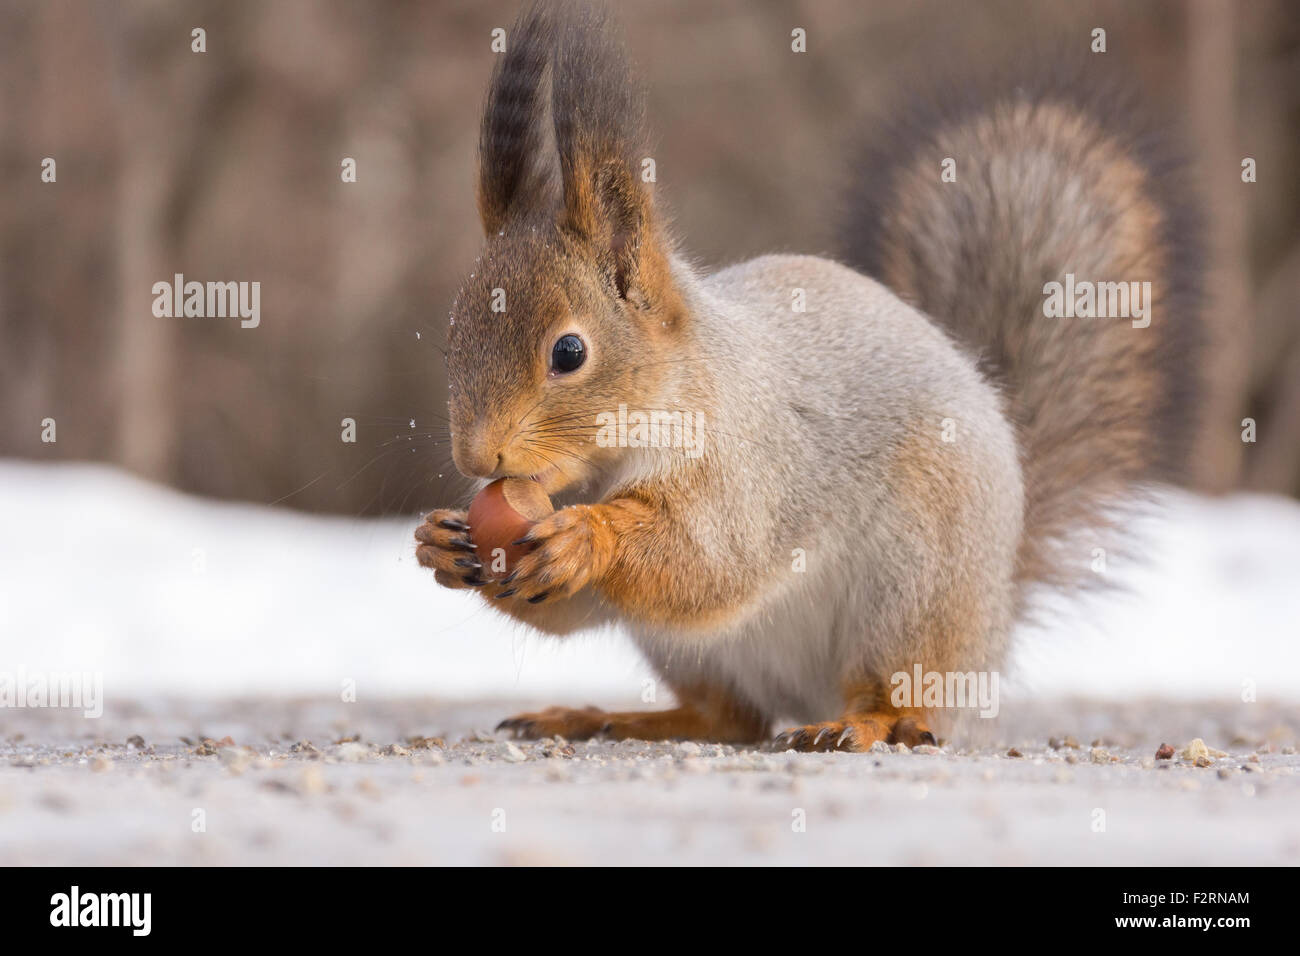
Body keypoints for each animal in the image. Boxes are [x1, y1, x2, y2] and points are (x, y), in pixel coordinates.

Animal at [414, 2, 1202, 750]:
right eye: (450, 340)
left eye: (570, 353)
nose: (476, 458)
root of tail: (995, 622)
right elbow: (577, 606)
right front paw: (441, 543)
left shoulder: (754, 463)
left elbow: (712, 558)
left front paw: (589, 536)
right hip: (695, 651)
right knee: (731, 718)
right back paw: (606, 717)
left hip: (916, 586)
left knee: (900, 698)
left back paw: (860, 725)